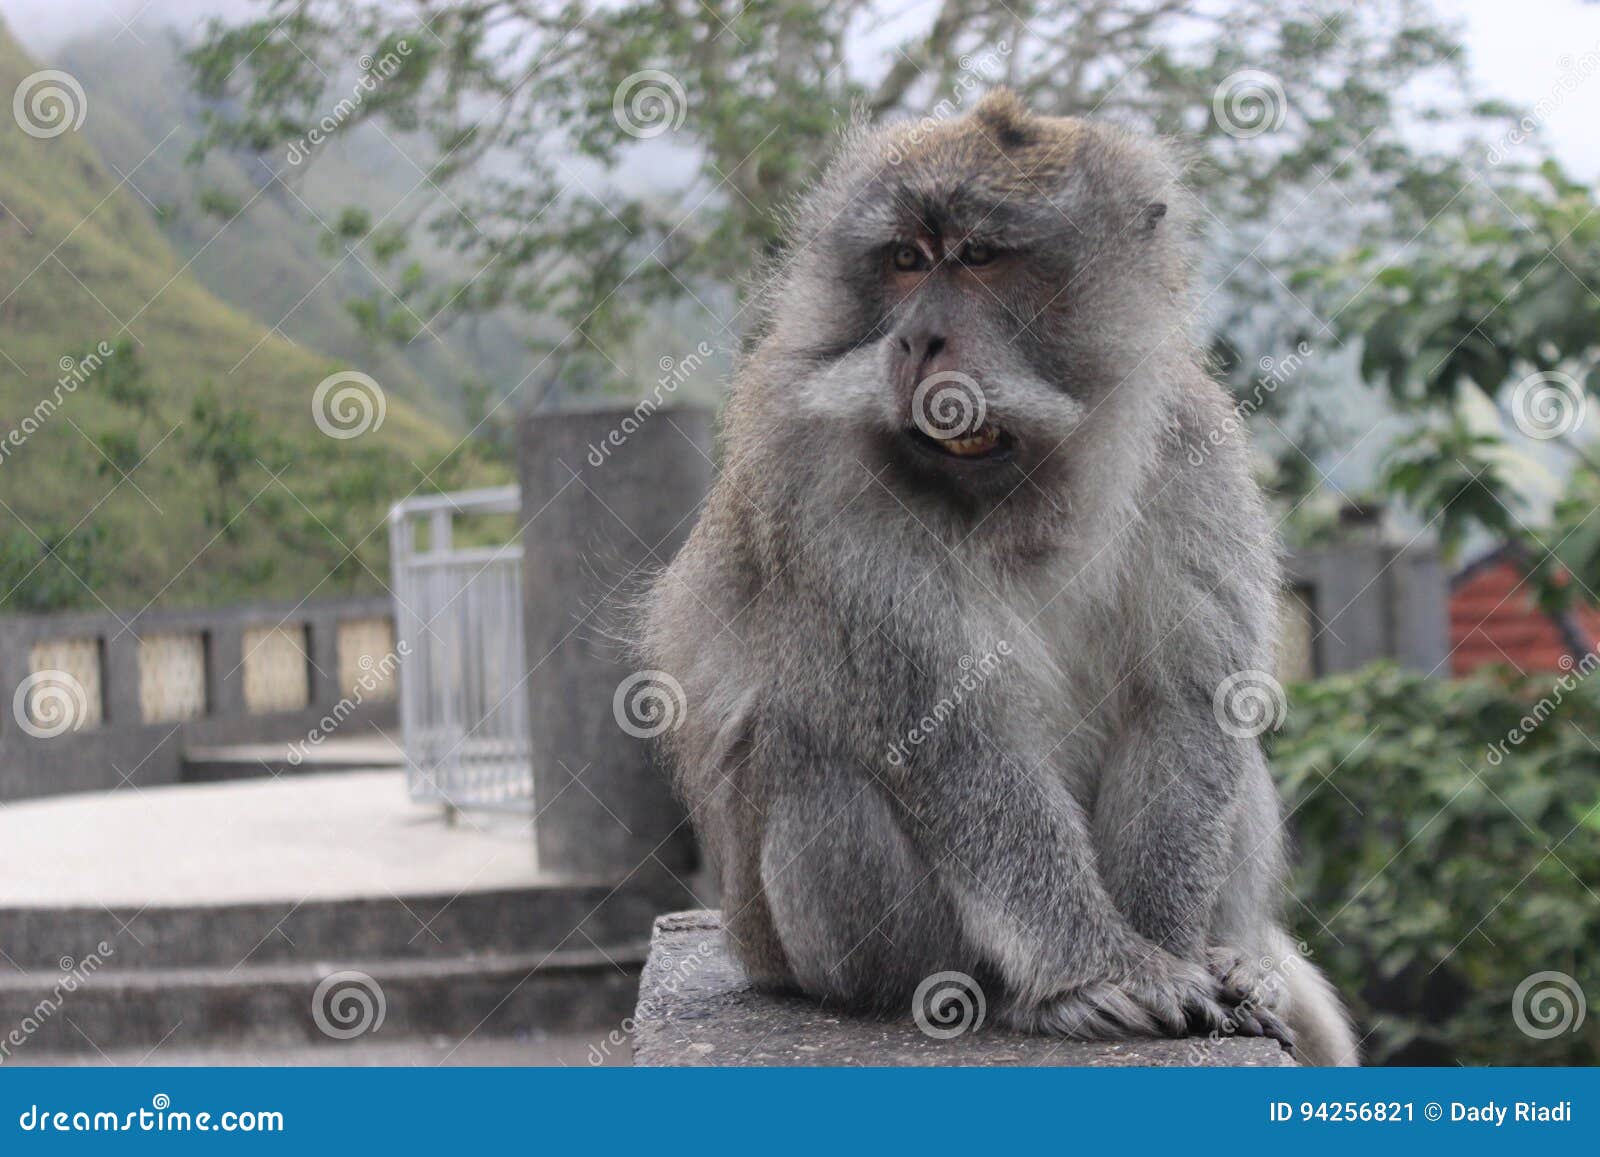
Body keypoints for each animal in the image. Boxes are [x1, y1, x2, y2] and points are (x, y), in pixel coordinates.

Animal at [640, 89, 1358, 1066]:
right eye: (906, 260)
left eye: (979, 257)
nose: (917, 339)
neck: (1015, 483)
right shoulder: (818, 483)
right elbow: (952, 738)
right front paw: (1108, 972)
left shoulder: (1191, 444)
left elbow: (1187, 702)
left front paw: (1176, 953)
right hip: (816, 947)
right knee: (804, 744)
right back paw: (1005, 994)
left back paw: (1233, 955)